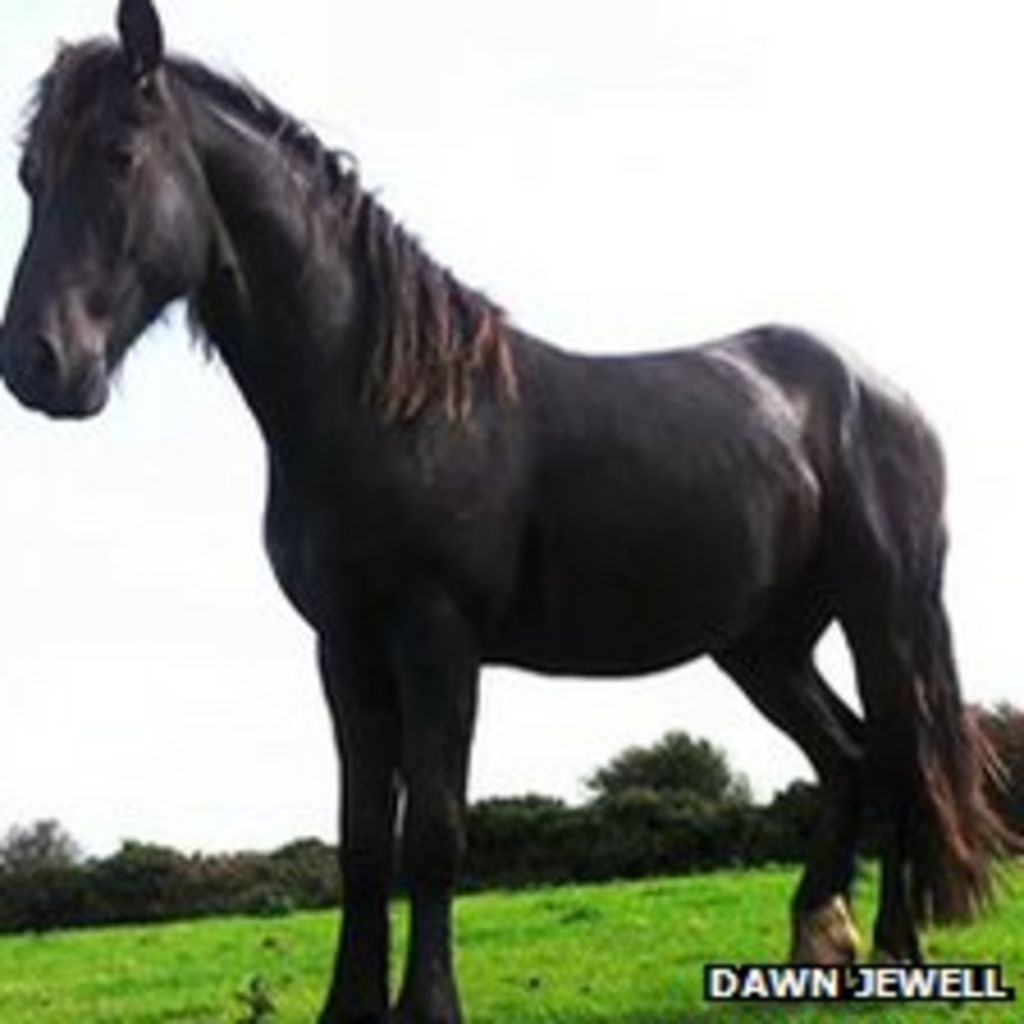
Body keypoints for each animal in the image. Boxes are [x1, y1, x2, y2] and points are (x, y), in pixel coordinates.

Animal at [0, 1, 1010, 1020]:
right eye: (30, 173)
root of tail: (884, 396)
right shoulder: (344, 646)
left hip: (882, 617)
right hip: (762, 644)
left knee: (898, 759)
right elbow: (362, 840)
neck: (388, 400)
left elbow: (434, 835)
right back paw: (819, 942)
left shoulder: (438, 636)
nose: (37, 362)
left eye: (122, 154)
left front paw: (429, 1005)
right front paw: (351, 1004)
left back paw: (898, 950)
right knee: (845, 756)